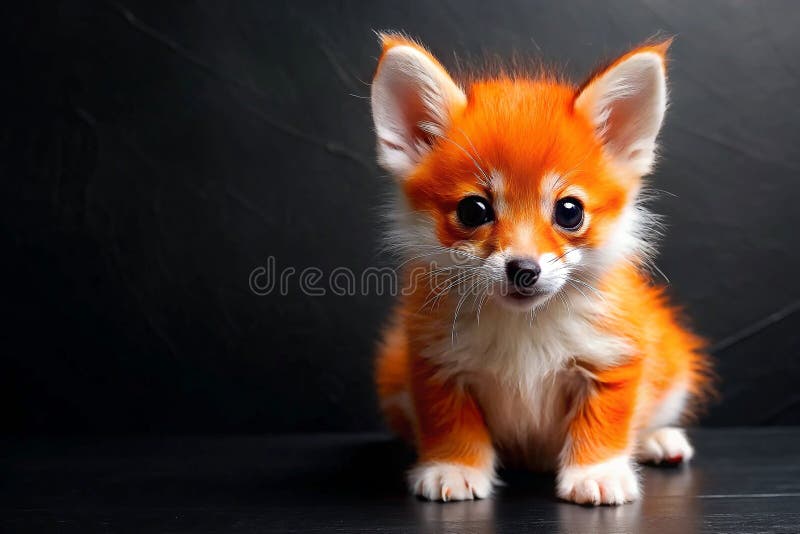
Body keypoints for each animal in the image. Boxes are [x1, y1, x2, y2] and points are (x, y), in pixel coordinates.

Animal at [370, 33, 712, 506]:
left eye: (570, 211)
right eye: (473, 210)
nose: (523, 269)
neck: (524, 328)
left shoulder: (615, 354)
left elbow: (607, 419)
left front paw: (597, 473)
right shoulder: (432, 359)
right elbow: (448, 420)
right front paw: (454, 467)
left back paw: (658, 440)